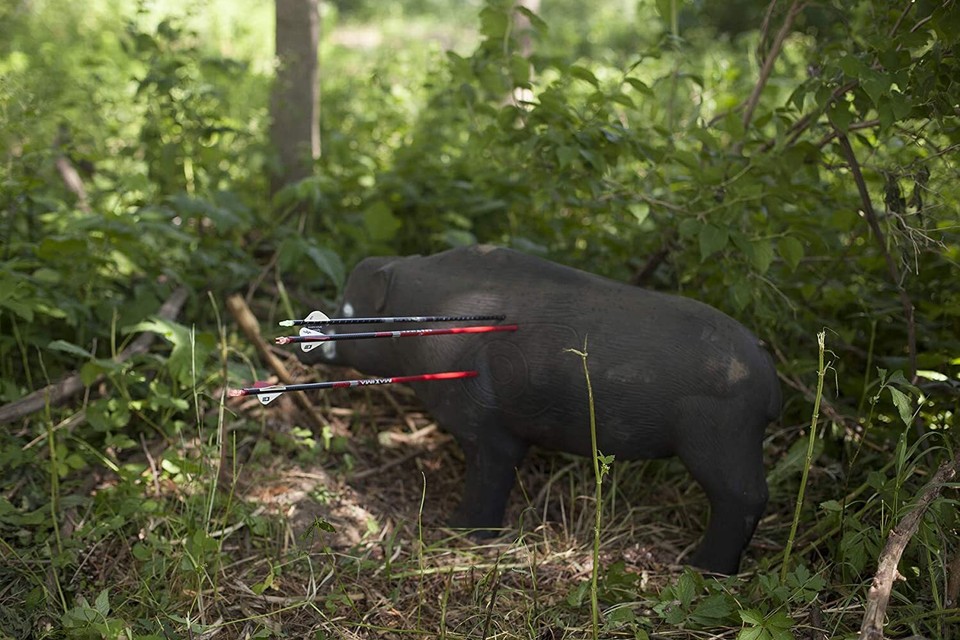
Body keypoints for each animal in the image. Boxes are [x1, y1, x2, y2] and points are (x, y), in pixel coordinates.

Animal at [302, 245, 780, 574]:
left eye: (348, 310)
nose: (304, 336)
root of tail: (770, 383)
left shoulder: (487, 429)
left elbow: (489, 482)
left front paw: (460, 531)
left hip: (719, 441)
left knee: (744, 498)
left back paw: (704, 569)